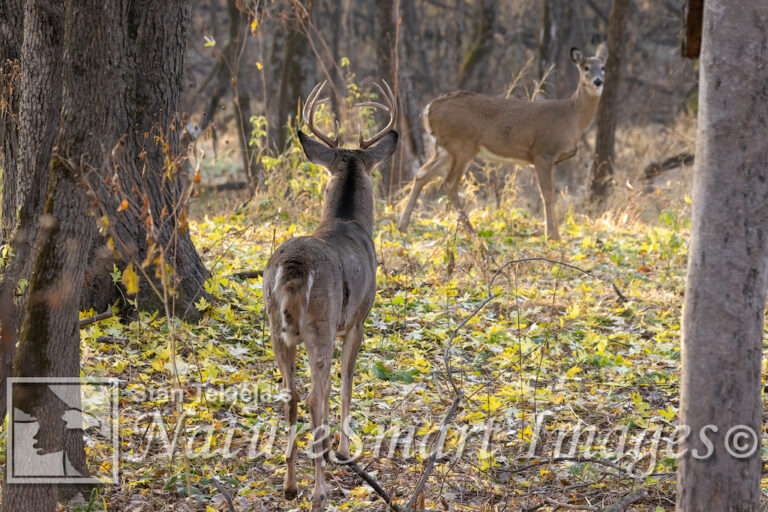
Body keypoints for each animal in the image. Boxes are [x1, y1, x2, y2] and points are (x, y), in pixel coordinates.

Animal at [263, 81, 398, 511]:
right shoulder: (357, 319)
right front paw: (343, 449)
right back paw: (318, 489)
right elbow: (349, 381)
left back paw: (290, 486)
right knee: (312, 398)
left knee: (289, 397)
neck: (346, 221)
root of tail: (293, 270)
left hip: (276, 330)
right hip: (319, 327)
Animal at [398, 43, 609, 240]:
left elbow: (550, 193)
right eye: (586, 67)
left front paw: (553, 234)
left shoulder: (552, 159)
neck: (571, 117)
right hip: (462, 144)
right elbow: (547, 194)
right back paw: (472, 231)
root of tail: (429, 109)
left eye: (603, 67)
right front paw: (553, 236)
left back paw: (402, 227)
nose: (598, 81)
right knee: (449, 183)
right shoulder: (543, 152)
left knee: (422, 174)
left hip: (445, 148)